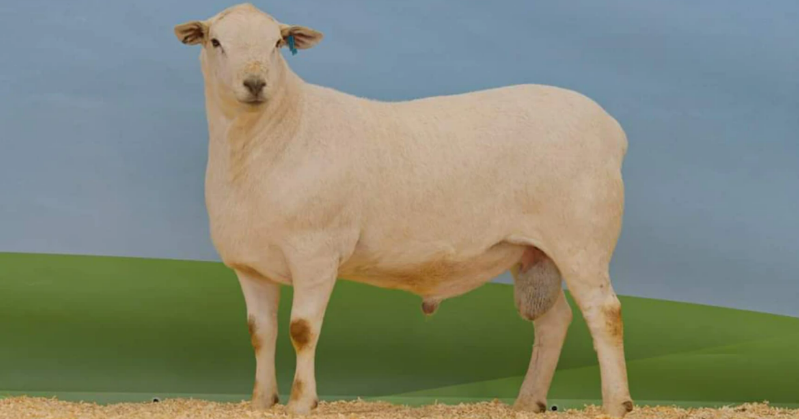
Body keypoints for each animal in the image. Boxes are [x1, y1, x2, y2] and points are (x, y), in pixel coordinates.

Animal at [174, 3, 633, 417]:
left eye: (276, 43)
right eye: (216, 42)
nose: (255, 83)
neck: (271, 138)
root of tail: (612, 129)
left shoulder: (315, 253)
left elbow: (301, 330)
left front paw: (302, 402)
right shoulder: (250, 265)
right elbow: (260, 333)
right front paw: (260, 401)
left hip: (582, 240)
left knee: (604, 313)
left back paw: (617, 403)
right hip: (532, 252)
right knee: (554, 322)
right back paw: (527, 402)